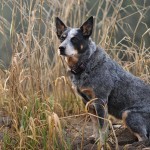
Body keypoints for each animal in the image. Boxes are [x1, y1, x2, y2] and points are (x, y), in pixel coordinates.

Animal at [55, 15, 150, 144]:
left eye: (74, 39)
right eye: (62, 38)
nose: (61, 48)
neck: (86, 64)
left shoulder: (100, 100)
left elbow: (102, 126)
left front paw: (101, 142)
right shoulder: (88, 102)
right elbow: (95, 124)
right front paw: (95, 138)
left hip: (128, 114)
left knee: (144, 138)